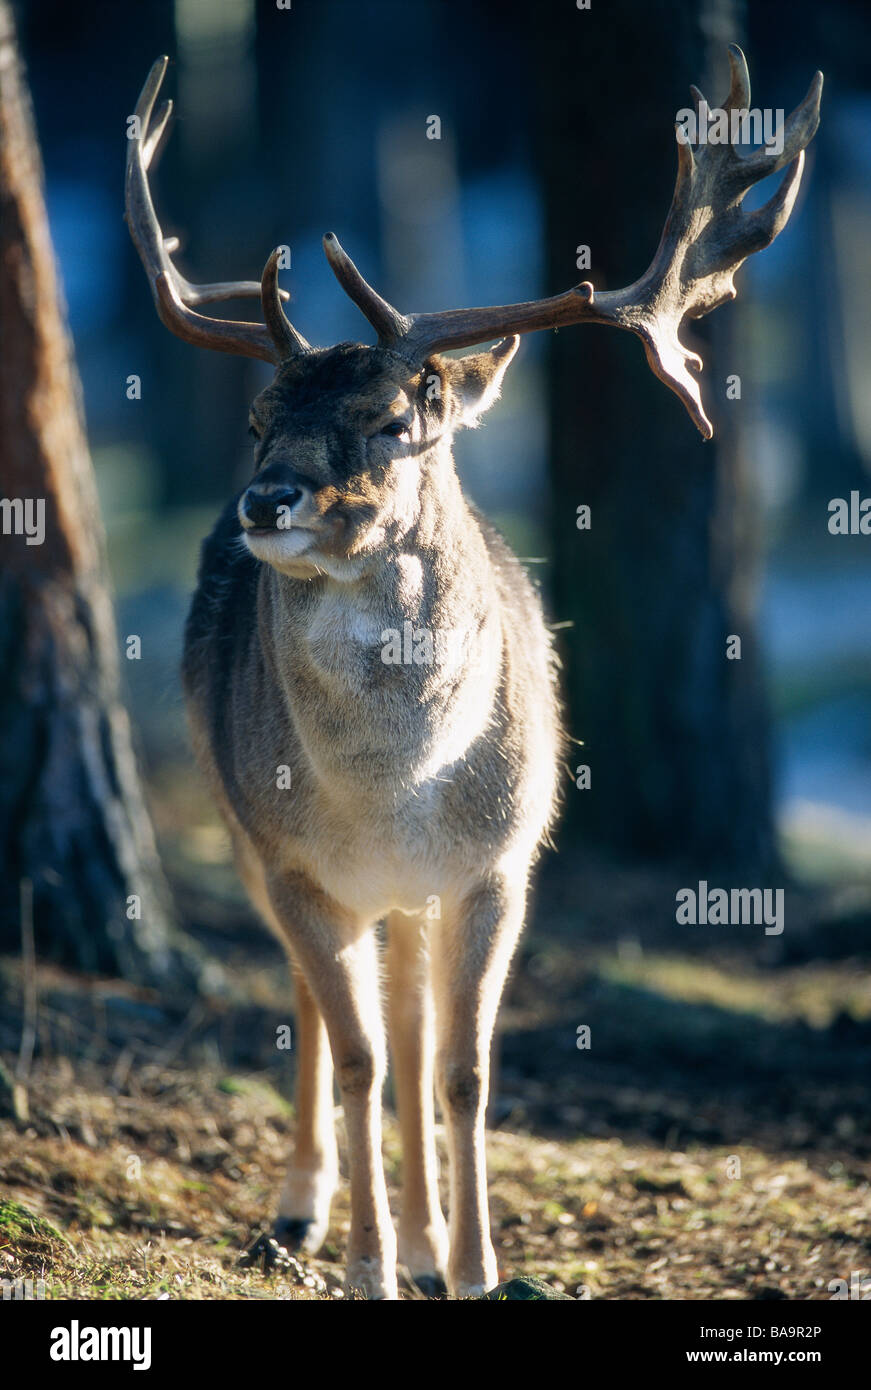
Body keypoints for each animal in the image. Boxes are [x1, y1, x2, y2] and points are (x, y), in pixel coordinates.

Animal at [125, 48, 821, 1299]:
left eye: (392, 417)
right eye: (259, 416)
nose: (266, 499)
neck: (392, 788)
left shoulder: (502, 864)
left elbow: (461, 1069)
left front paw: (477, 1263)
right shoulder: (290, 861)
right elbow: (356, 1056)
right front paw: (361, 1262)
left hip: (420, 891)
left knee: (411, 1023)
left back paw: (422, 1237)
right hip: (252, 833)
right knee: (332, 1012)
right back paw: (307, 1212)